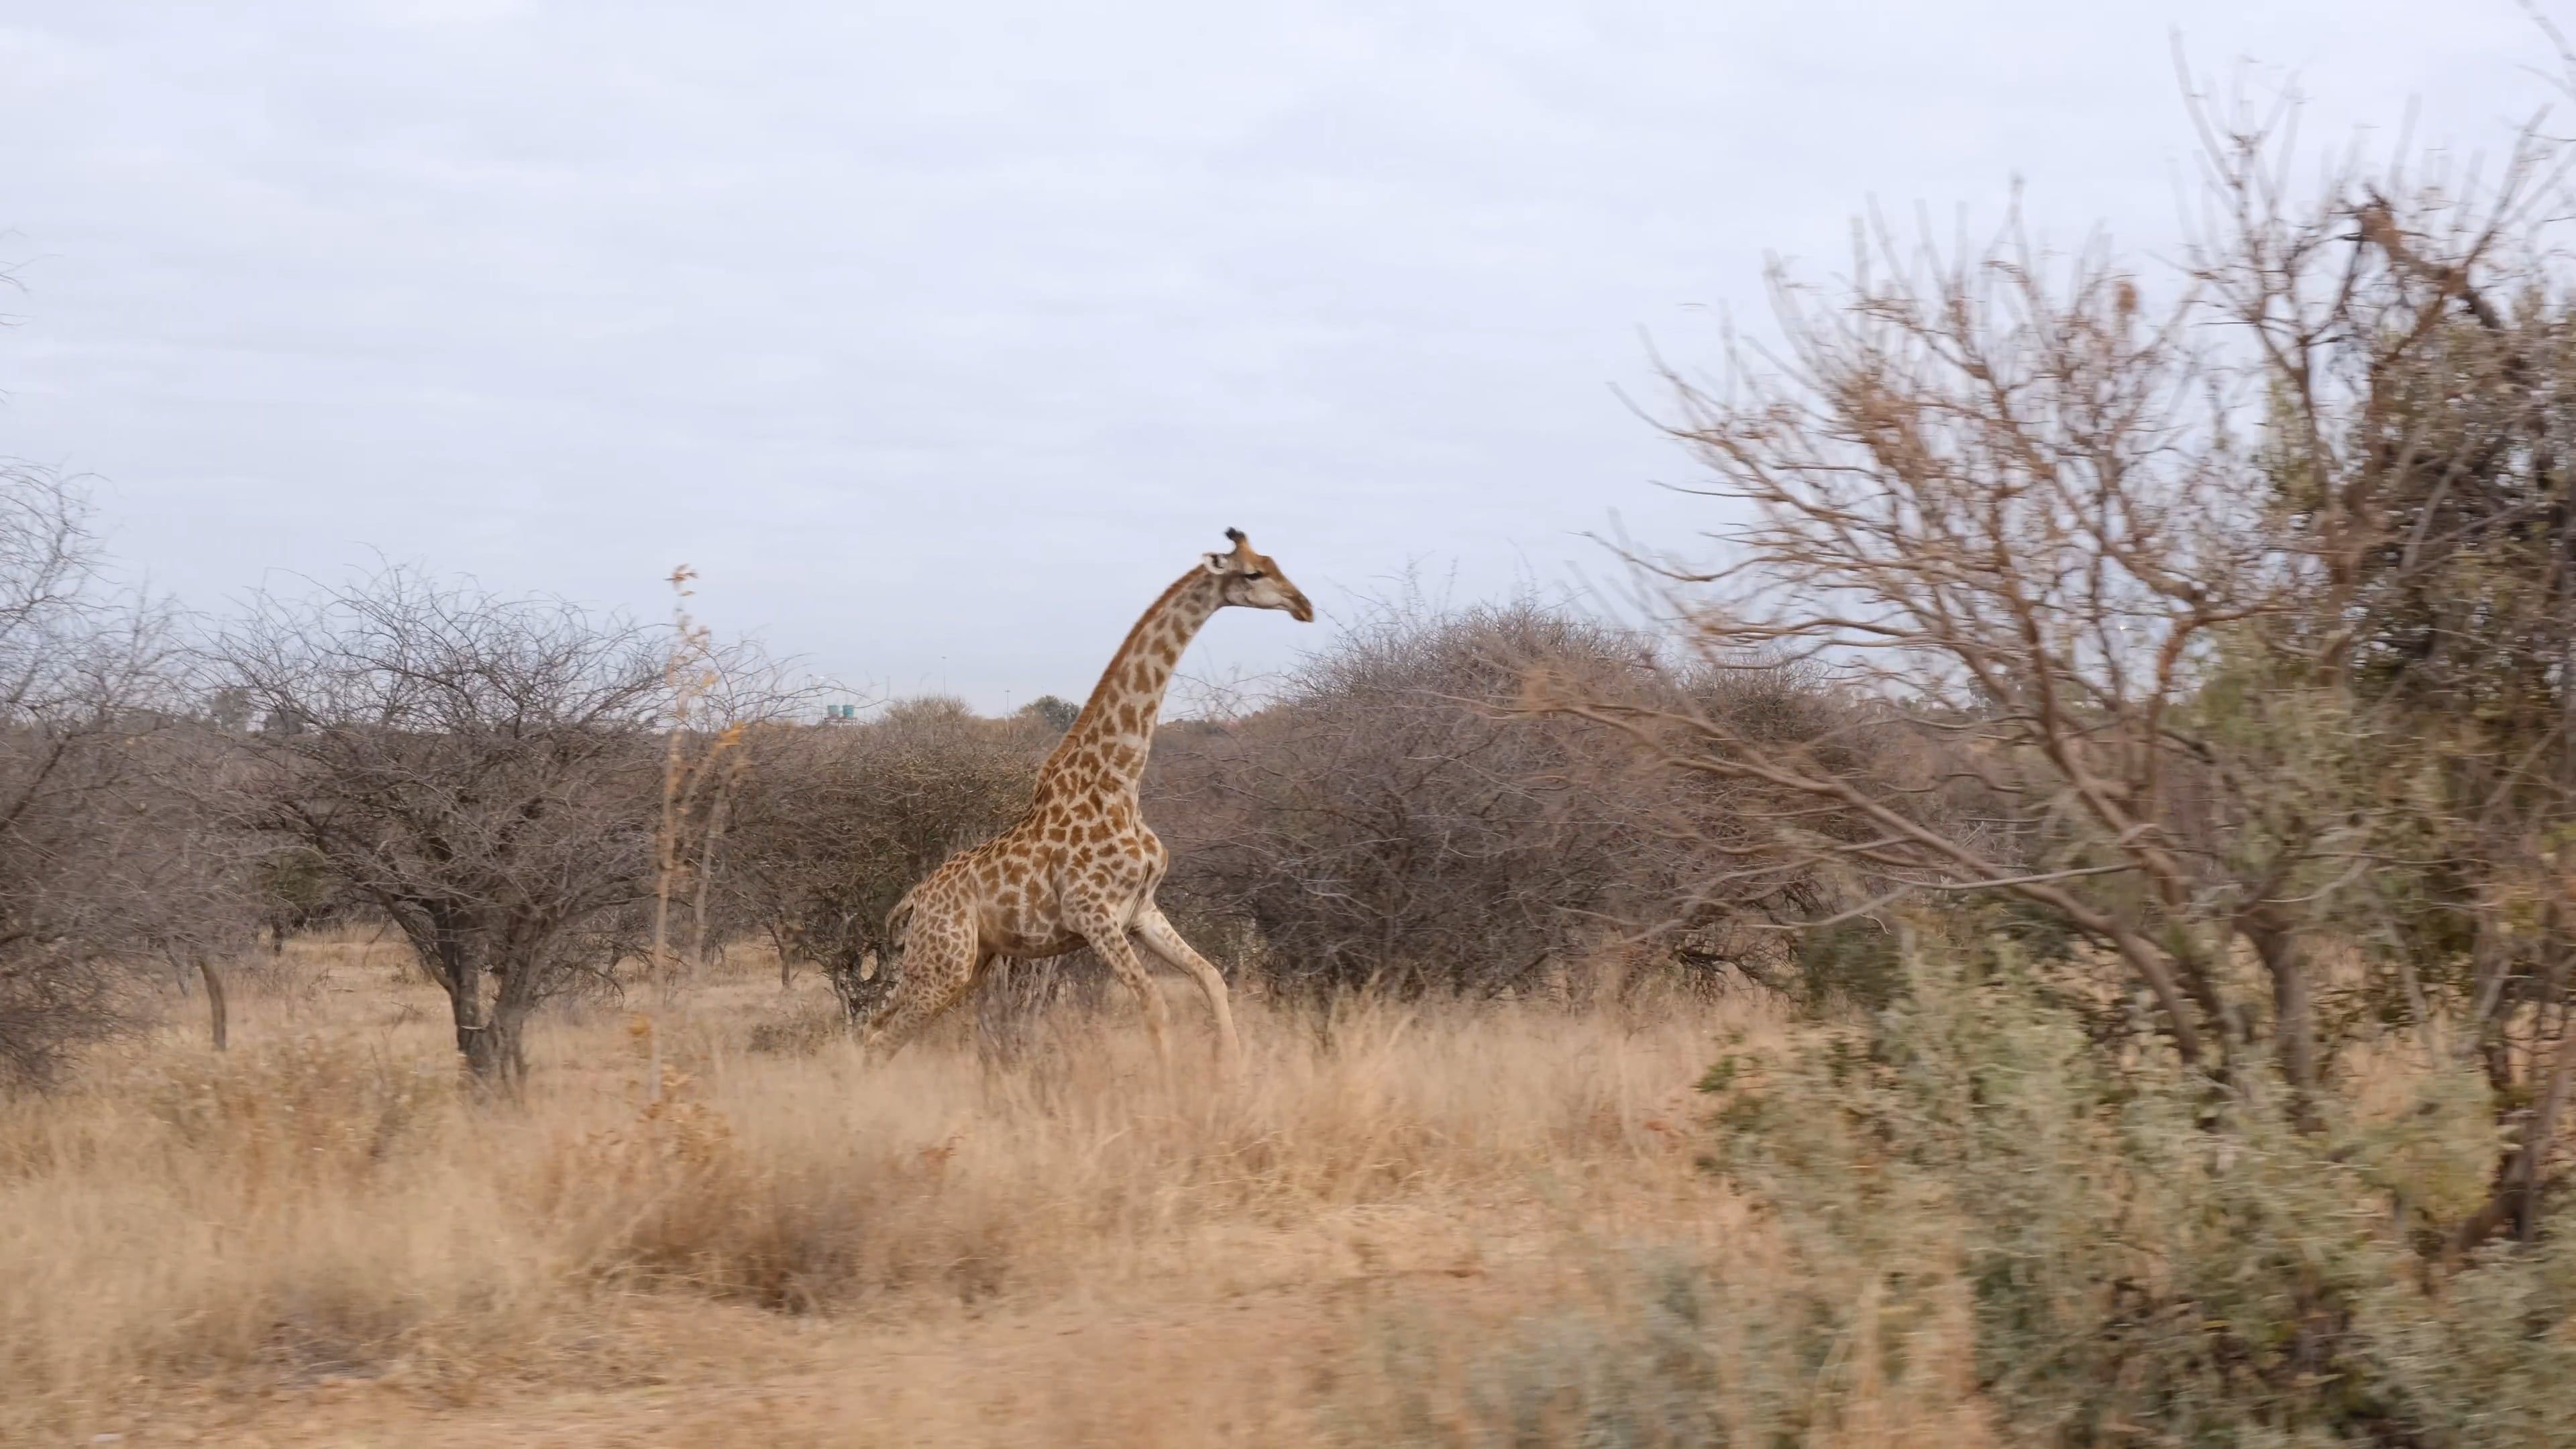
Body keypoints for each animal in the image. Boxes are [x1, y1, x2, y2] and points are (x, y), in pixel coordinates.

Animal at [858, 528, 1314, 1067]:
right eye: (1254, 574)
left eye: (1274, 562)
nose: (1304, 605)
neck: (1120, 782)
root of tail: (913, 901)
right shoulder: (1092, 913)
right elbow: (1154, 1004)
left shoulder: (1141, 911)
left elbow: (1211, 978)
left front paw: (1232, 1071)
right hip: (944, 962)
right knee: (880, 1036)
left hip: (963, 964)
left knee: (876, 1030)